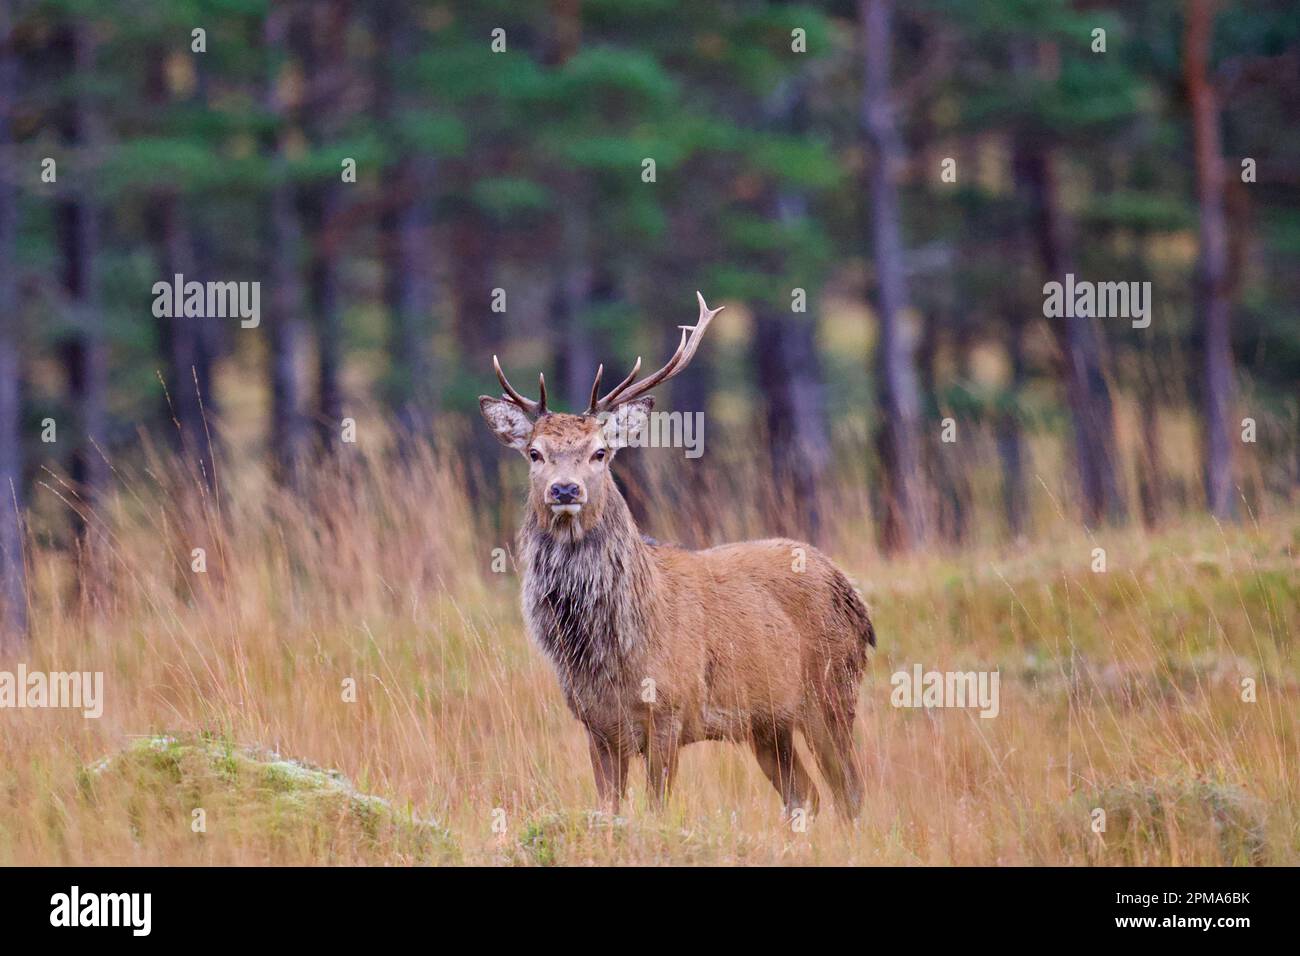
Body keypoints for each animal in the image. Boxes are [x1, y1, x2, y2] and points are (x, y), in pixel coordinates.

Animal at [479, 292, 875, 819]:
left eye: (601, 452)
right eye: (534, 453)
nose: (565, 489)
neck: (609, 650)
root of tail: (853, 595)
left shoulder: (668, 710)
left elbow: (657, 810)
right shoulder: (594, 725)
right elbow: (609, 810)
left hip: (831, 691)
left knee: (849, 791)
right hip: (768, 724)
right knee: (804, 795)